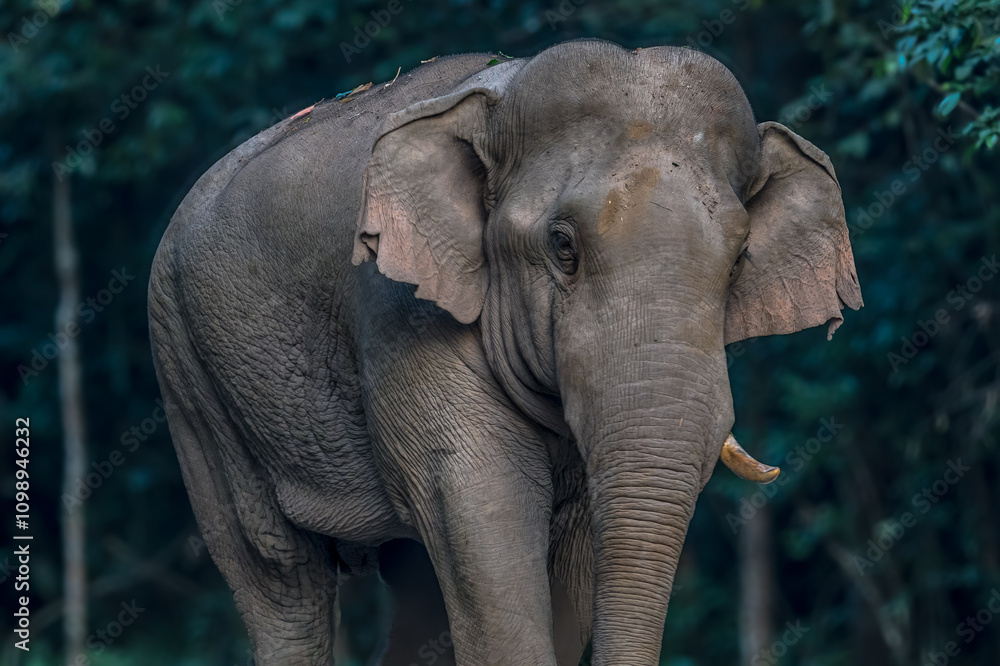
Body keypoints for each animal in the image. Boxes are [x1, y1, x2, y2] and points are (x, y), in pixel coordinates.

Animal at [148, 39, 862, 666]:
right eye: (562, 245)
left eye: (739, 260)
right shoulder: (400, 309)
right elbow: (482, 503)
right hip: (184, 363)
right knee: (278, 573)